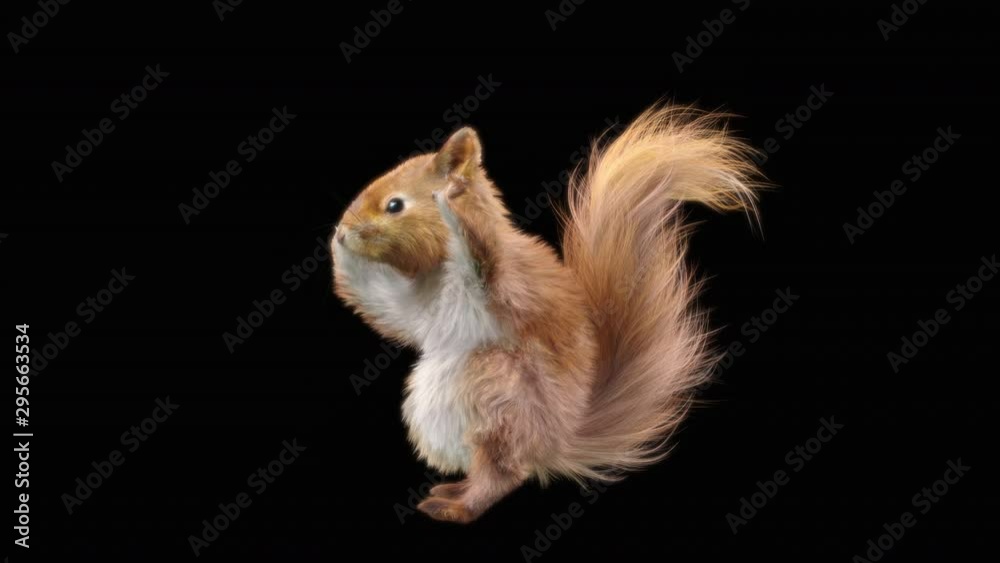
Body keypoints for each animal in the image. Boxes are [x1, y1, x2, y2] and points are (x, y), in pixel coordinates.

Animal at [332, 104, 763, 523]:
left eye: (395, 205)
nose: (346, 227)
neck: (441, 267)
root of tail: (555, 442)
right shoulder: (421, 304)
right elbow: (385, 304)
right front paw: (338, 243)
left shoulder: (508, 283)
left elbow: (485, 255)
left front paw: (455, 199)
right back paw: (453, 491)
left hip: (501, 397)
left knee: (503, 473)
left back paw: (460, 506)